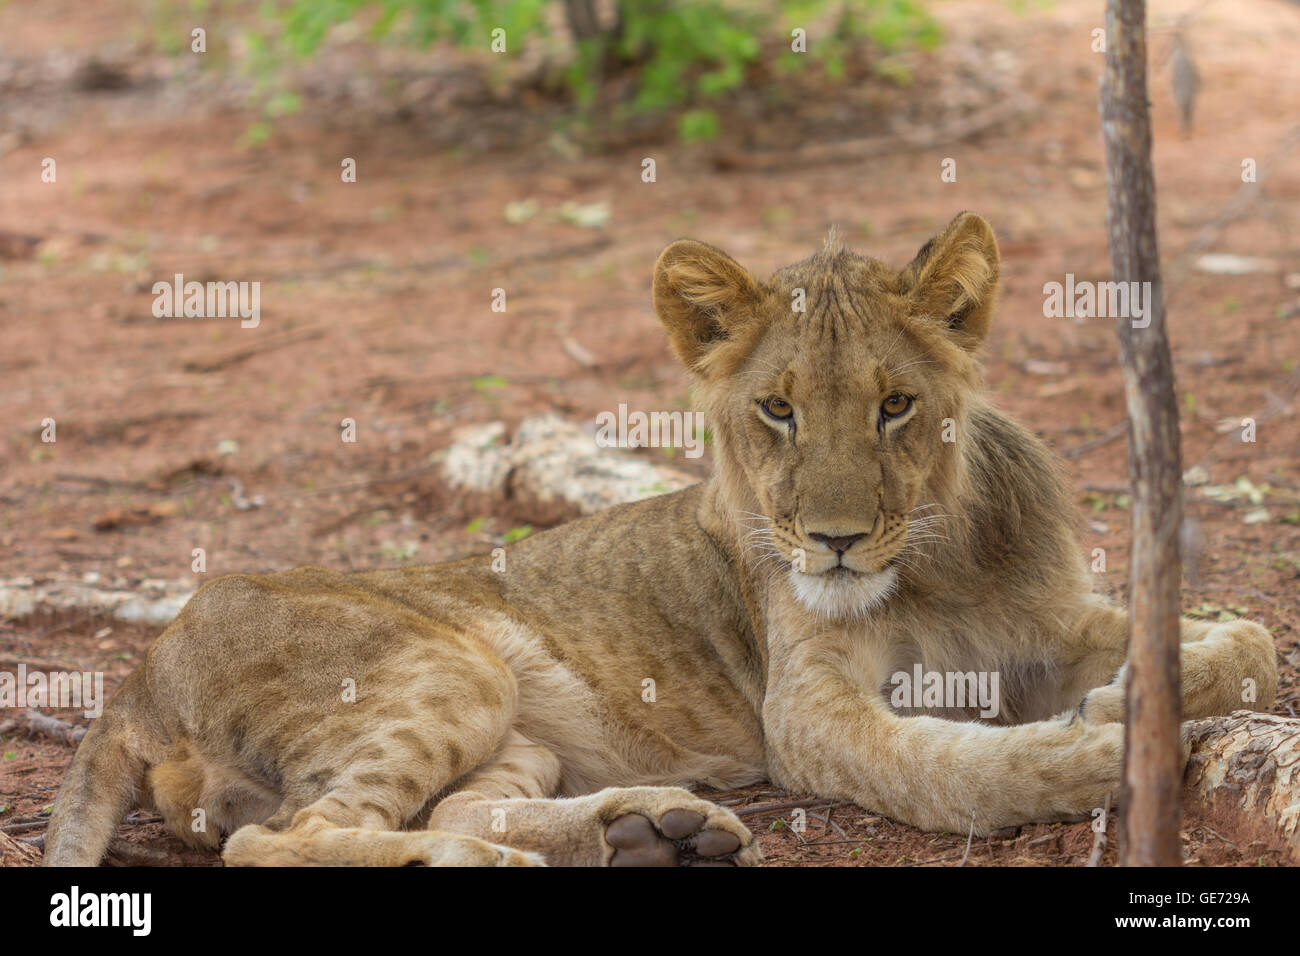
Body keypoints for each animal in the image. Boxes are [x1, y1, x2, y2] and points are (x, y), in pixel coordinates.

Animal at [44, 212, 1277, 866]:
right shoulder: (804, 714)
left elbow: (1249, 641)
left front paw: (1165, 679)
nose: (833, 541)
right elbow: (951, 767)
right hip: (450, 667)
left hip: (514, 727)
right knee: (286, 840)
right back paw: (512, 854)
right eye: (777, 409)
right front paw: (1103, 746)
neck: (938, 561)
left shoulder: (1051, 621)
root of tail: (136, 673)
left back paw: (650, 831)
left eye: (894, 405)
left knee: (453, 800)